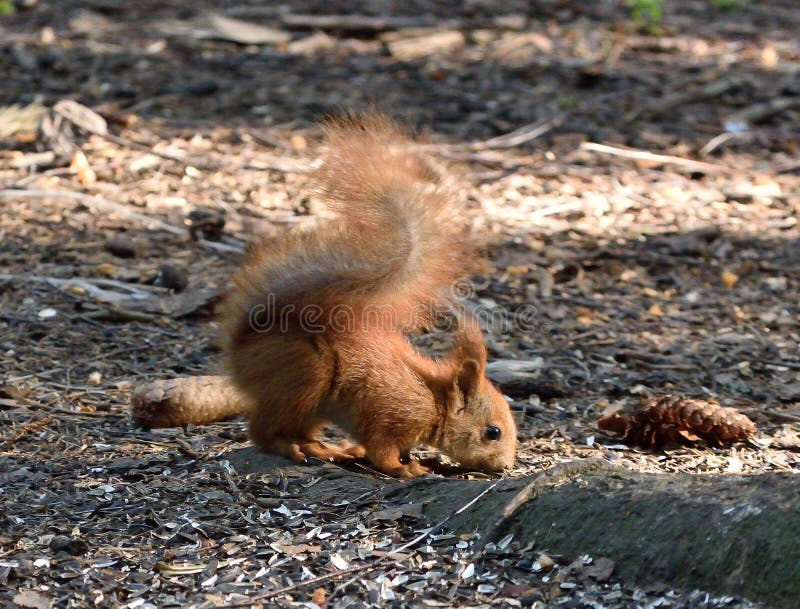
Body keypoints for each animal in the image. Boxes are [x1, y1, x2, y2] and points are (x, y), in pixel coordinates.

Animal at [132, 115, 517, 478]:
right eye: (492, 432)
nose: (505, 466)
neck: (433, 398)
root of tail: (242, 348)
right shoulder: (386, 412)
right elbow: (382, 448)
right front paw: (405, 468)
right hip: (305, 373)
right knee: (262, 431)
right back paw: (295, 448)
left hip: (311, 402)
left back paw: (324, 447)